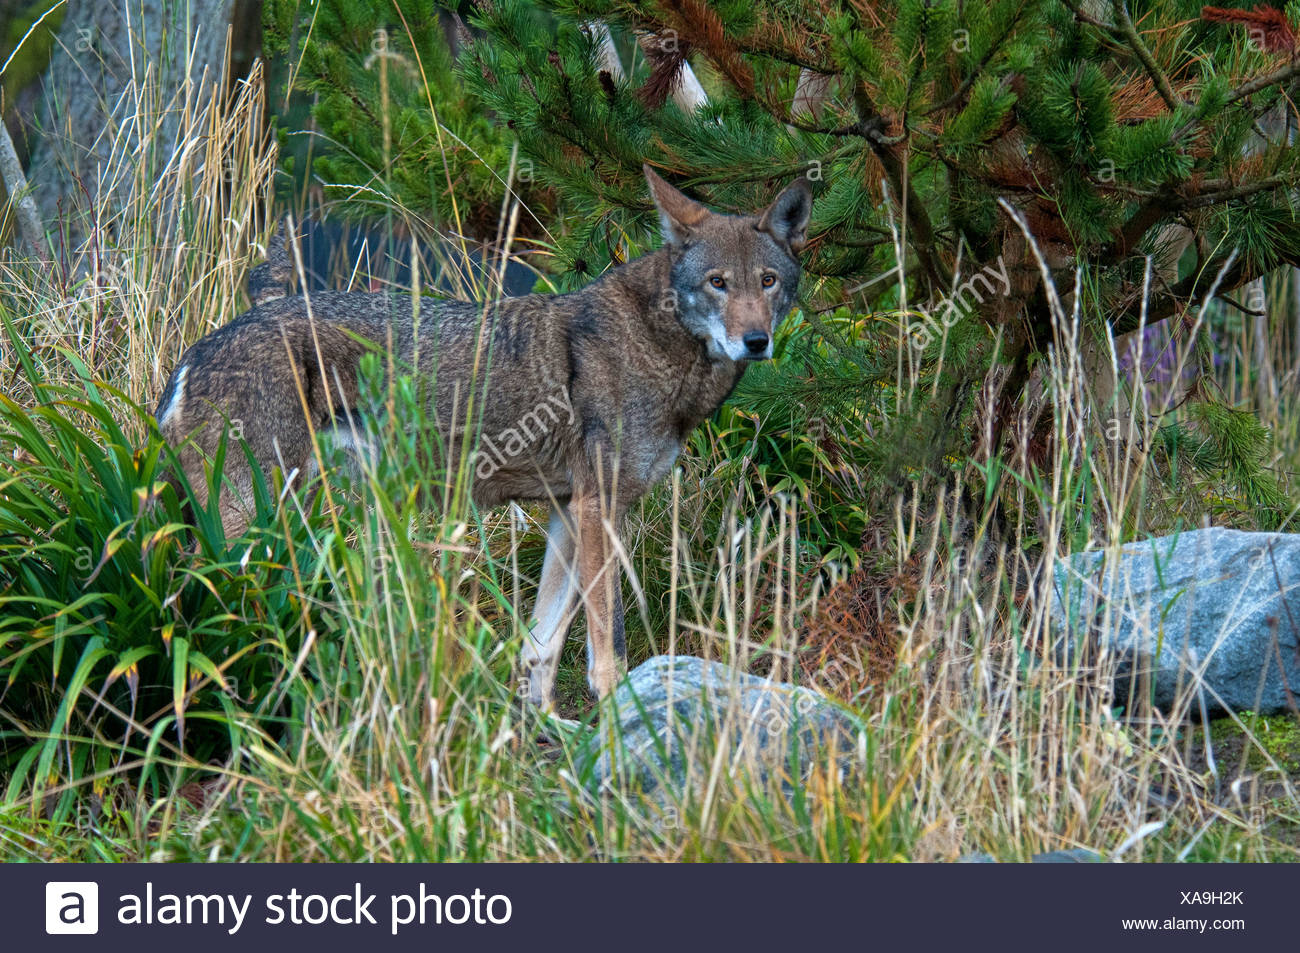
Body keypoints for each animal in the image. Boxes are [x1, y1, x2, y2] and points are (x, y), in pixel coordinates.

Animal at [154, 166, 812, 709]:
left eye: (768, 281)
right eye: (718, 283)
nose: (756, 341)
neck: (662, 351)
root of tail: (191, 358)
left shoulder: (569, 512)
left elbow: (541, 645)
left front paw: (550, 727)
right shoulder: (600, 507)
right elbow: (608, 641)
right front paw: (615, 715)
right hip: (253, 524)